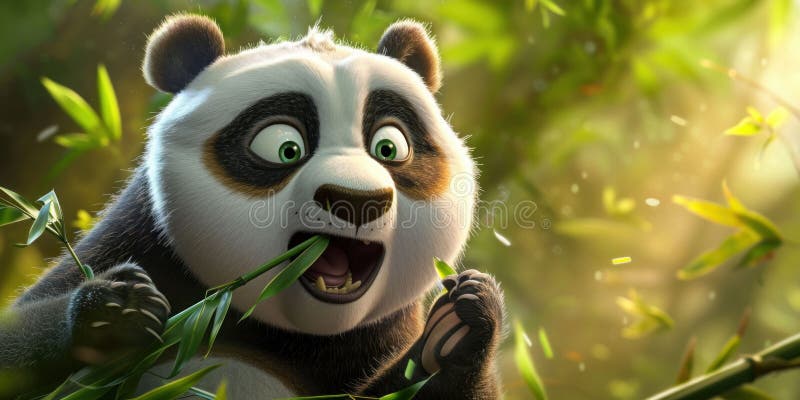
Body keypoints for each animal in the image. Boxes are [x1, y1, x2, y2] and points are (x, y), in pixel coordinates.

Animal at [0, 14, 505, 399]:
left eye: (389, 146)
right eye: (284, 147)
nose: (357, 200)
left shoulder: (380, 335)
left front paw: (457, 329)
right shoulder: (138, 242)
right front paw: (118, 308)